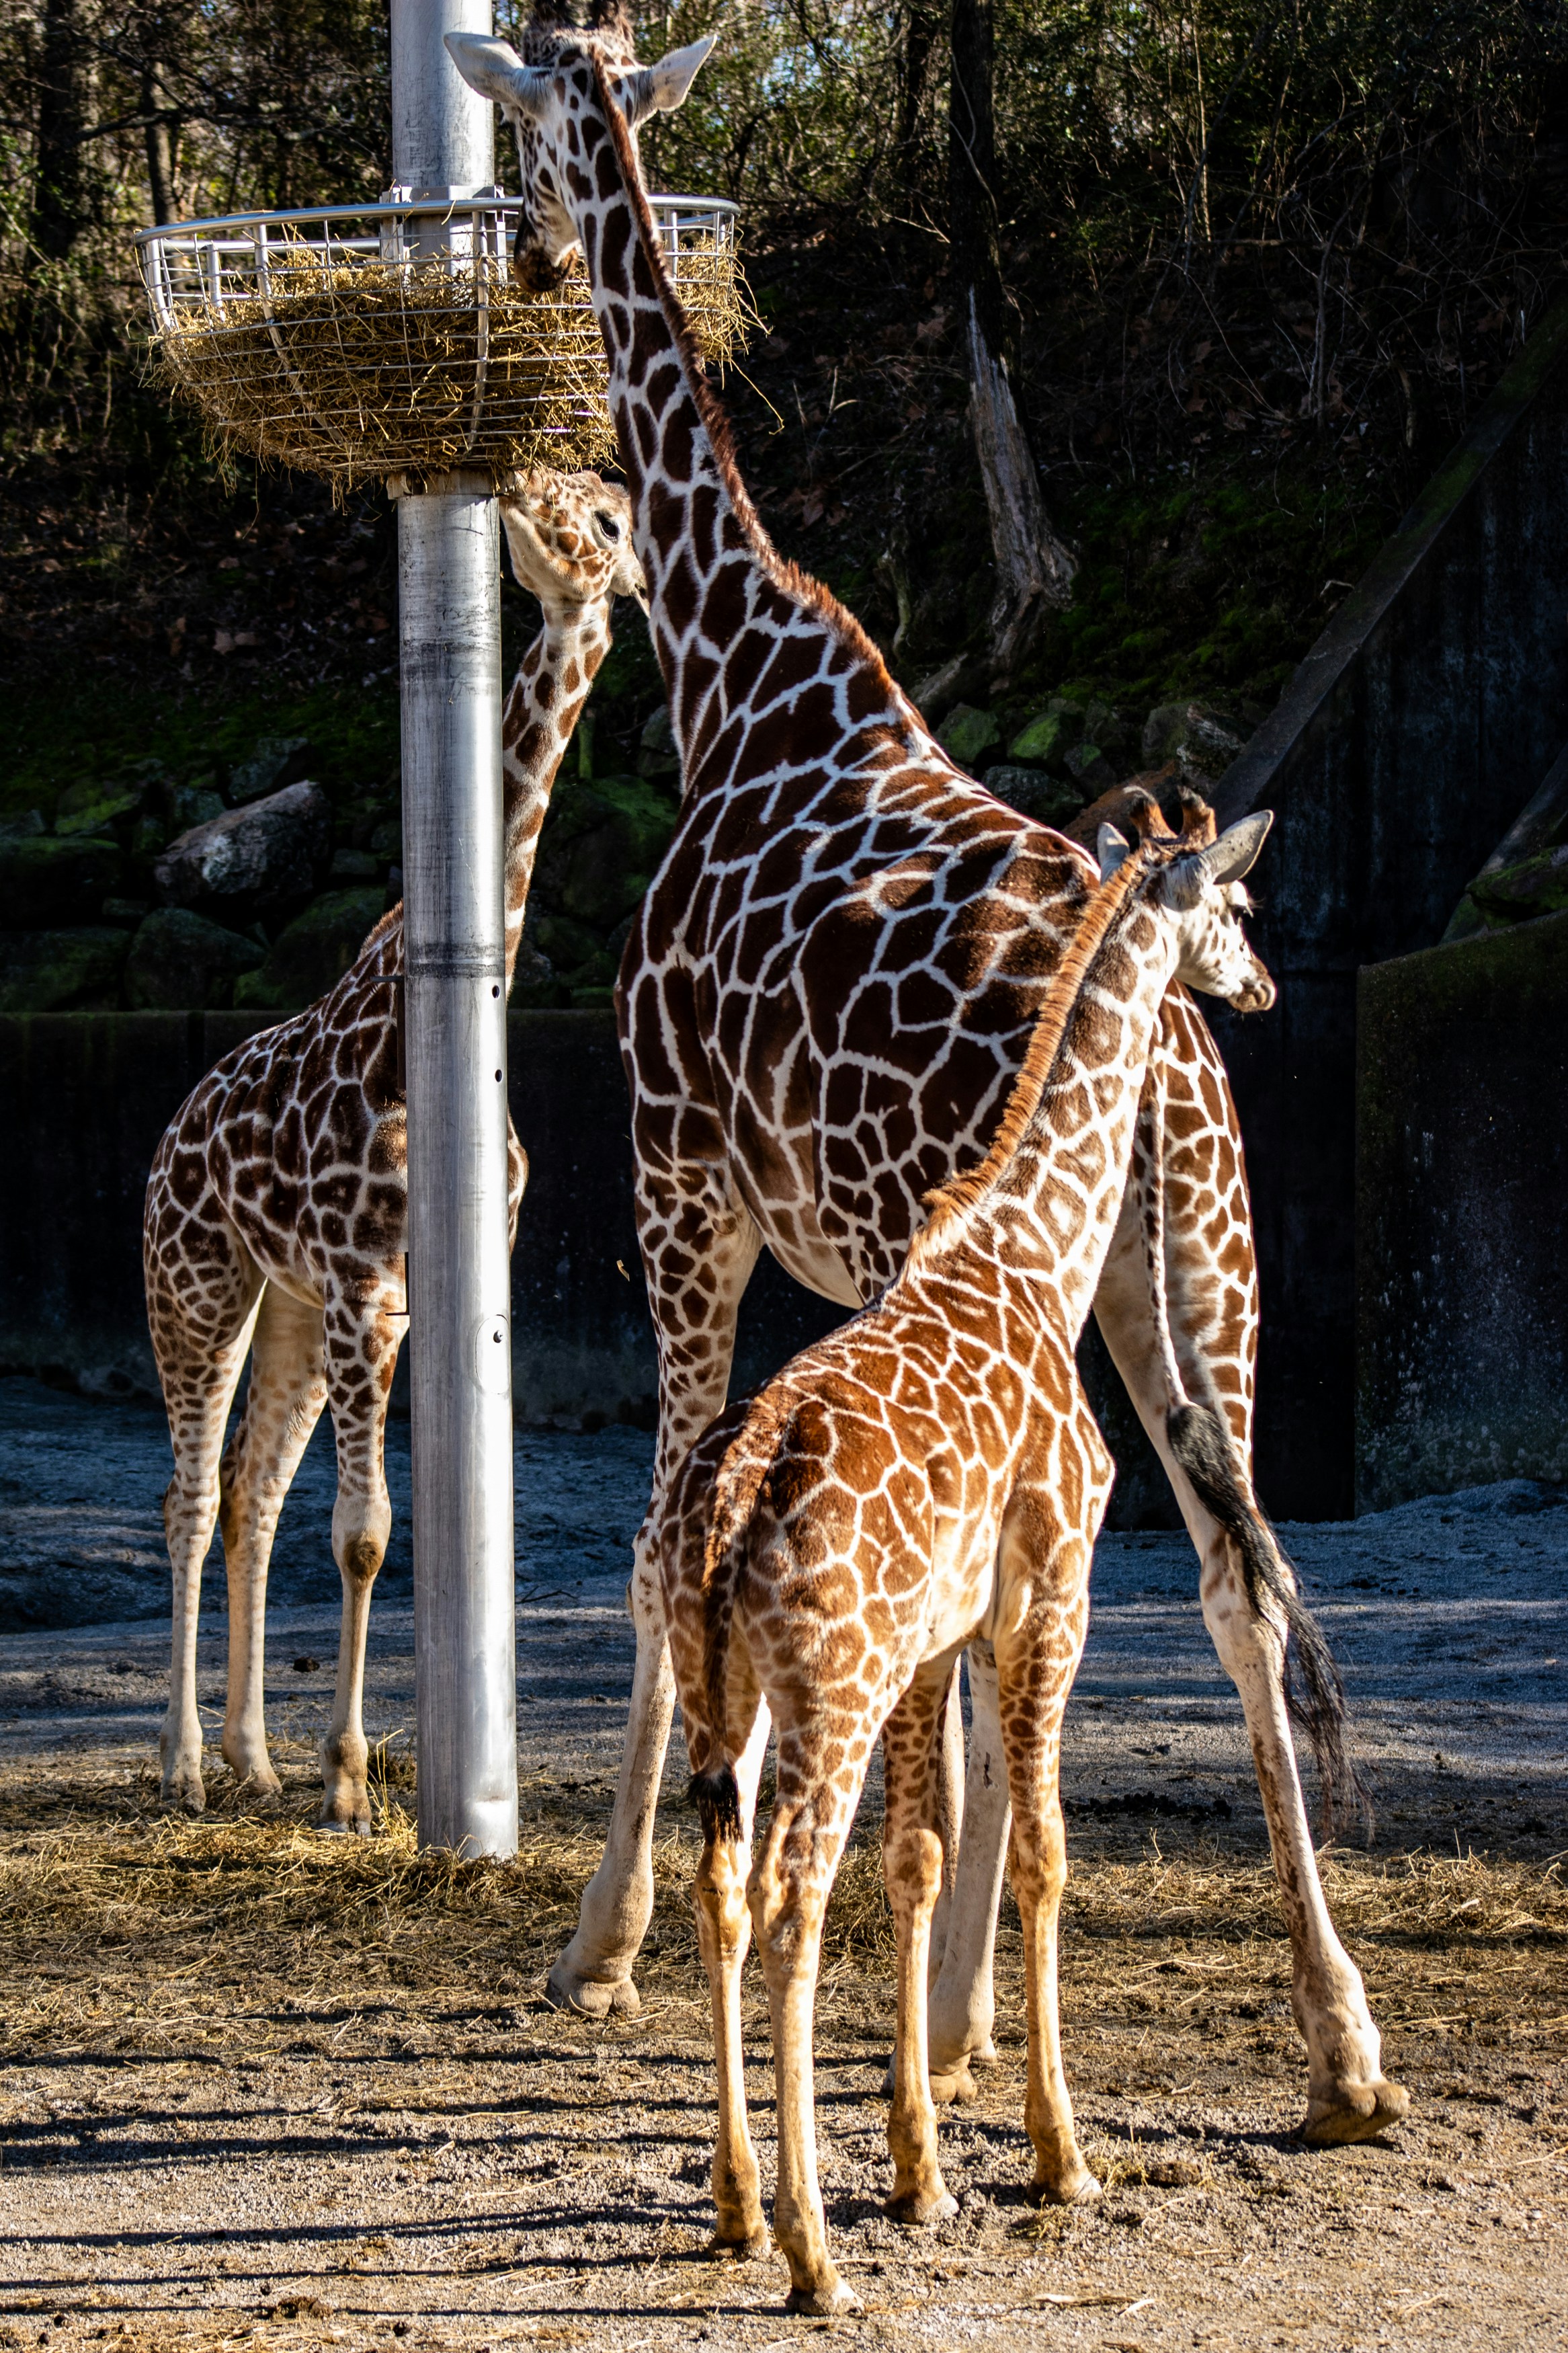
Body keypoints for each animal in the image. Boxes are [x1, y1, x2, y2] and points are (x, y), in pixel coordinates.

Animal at [143, 469, 646, 1828]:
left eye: (607, 518)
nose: (522, 488)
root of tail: (168, 1138)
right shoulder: (365, 1280)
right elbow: (367, 1530)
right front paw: (353, 1786)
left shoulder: (411, 1292)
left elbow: (385, 1526)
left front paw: (338, 1772)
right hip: (195, 1289)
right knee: (191, 1500)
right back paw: (186, 1765)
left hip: (286, 1308)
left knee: (253, 1498)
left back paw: (252, 1756)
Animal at [446, 7, 1404, 2144]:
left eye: (529, 137)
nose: (523, 250)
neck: (729, 672)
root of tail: (1179, 1070)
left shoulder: (675, 1178)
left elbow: (652, 1531)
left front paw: (598, 1942)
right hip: (1187, 1278)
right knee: (1234, 1584)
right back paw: (1337, 2042)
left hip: (956, 1244)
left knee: (1049, 1601)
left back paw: (968, 2017)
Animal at [659, 798, 1404, 2313]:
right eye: (1235, 905)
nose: (1260, 985)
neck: (1030, 1242)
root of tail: (726, 1509)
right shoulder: (1052, 1588)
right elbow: (1048, 1856)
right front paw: (1058, 2159)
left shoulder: (934, 1639)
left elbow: (924, 1857)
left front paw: (921, 2169)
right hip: (820, 1693)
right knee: (785, 1899)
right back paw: (814, 2259)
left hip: (728, 1692)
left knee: (716, 1888)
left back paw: (741, 2208)